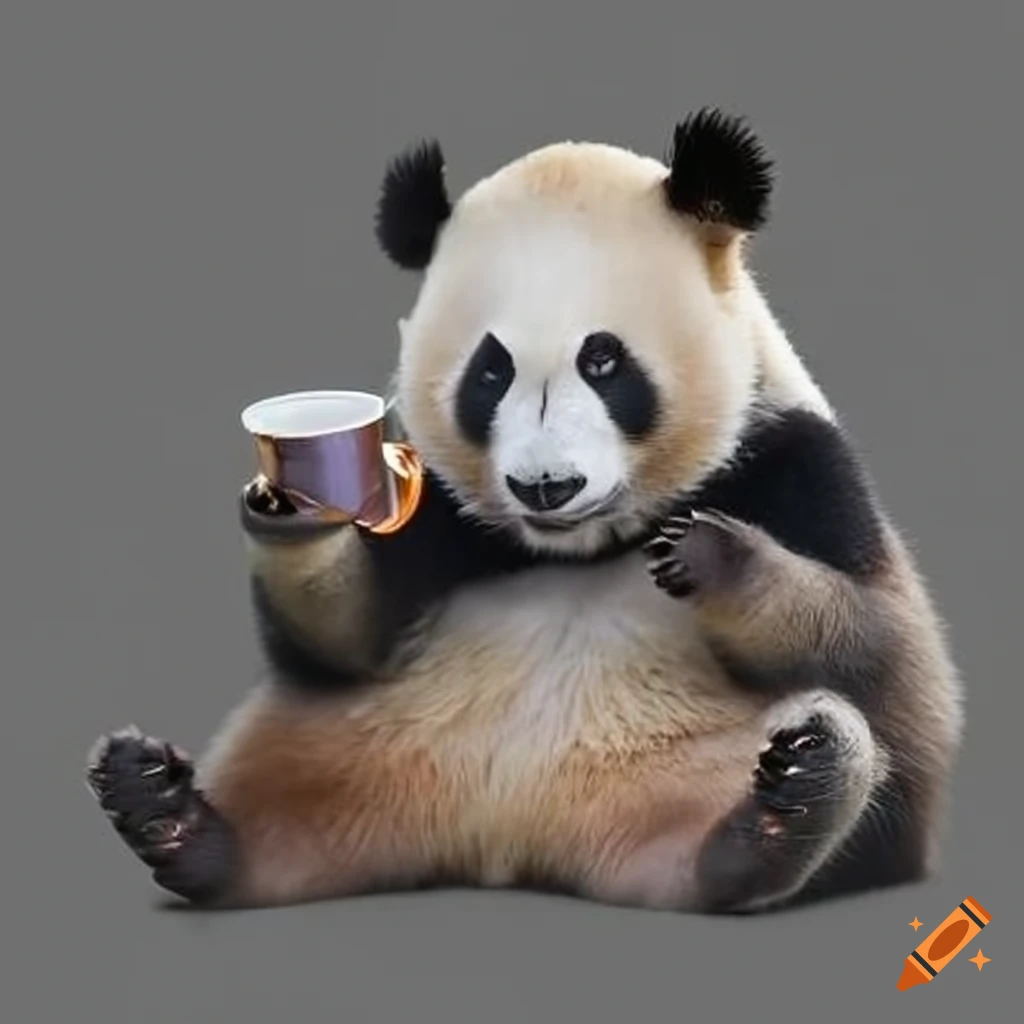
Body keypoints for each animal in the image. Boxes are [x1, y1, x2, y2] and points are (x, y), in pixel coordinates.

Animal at [85, 108, 963, 914]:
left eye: (603, 361)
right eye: (490, 372)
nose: (546, 486)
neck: (581, 543)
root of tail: (509, 844)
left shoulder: (800, 466)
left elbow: (881, 646)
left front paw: (708, 557)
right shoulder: (439, 509)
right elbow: (347, 639)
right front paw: (295, 507)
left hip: (683, 776)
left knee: (805, 789)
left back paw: (788, 809)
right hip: (339, 754)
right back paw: (167, 813)